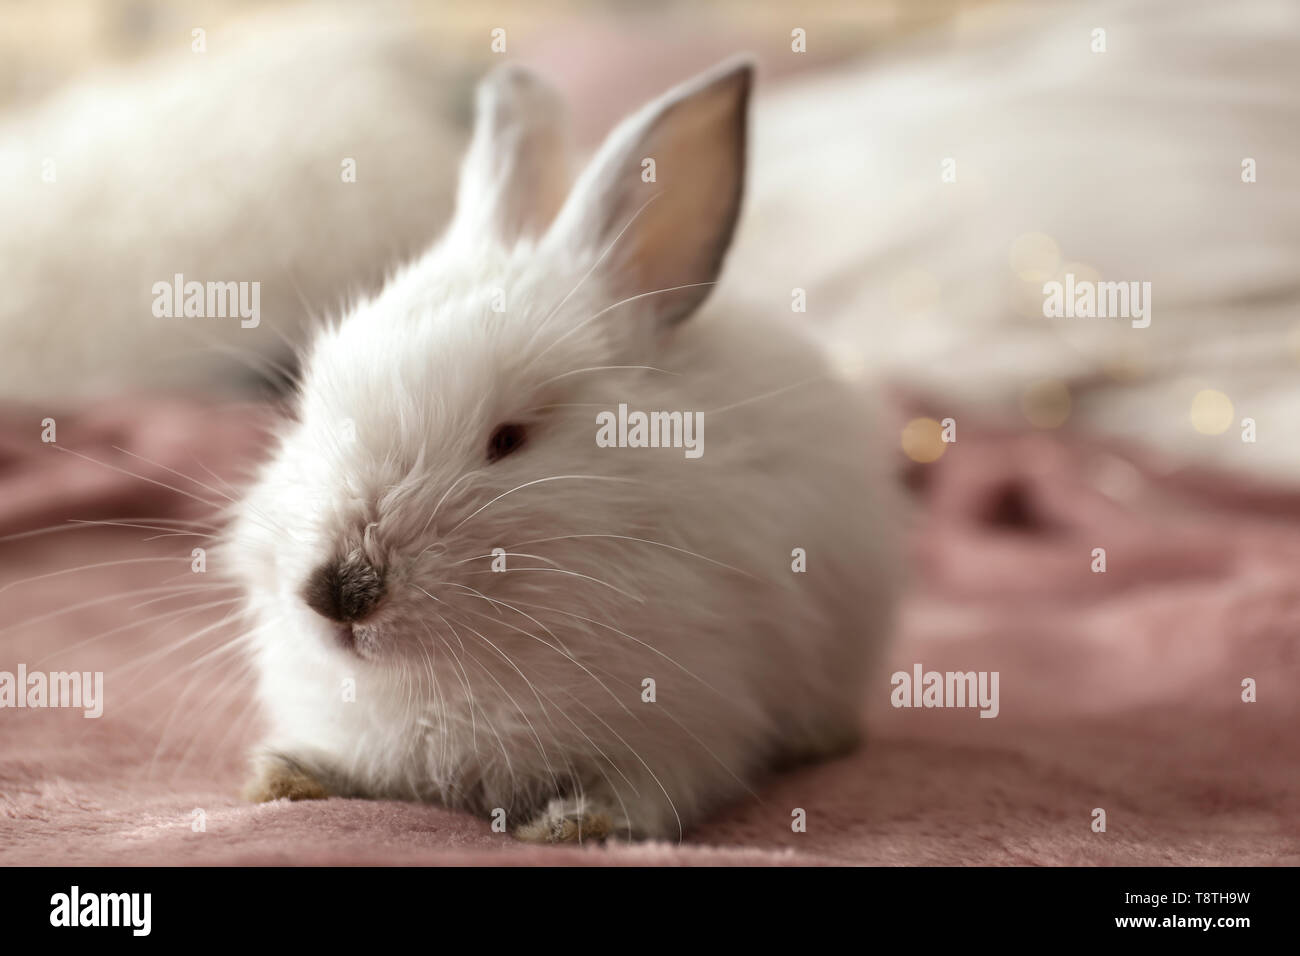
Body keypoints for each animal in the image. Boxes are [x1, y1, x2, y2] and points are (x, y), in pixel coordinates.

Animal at [230, 57, 900, 843]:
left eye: (508, 440)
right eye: (309, 410)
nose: (339, 593)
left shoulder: (689, 724)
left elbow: (648, 793)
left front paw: (573, 825)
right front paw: (287, 776)